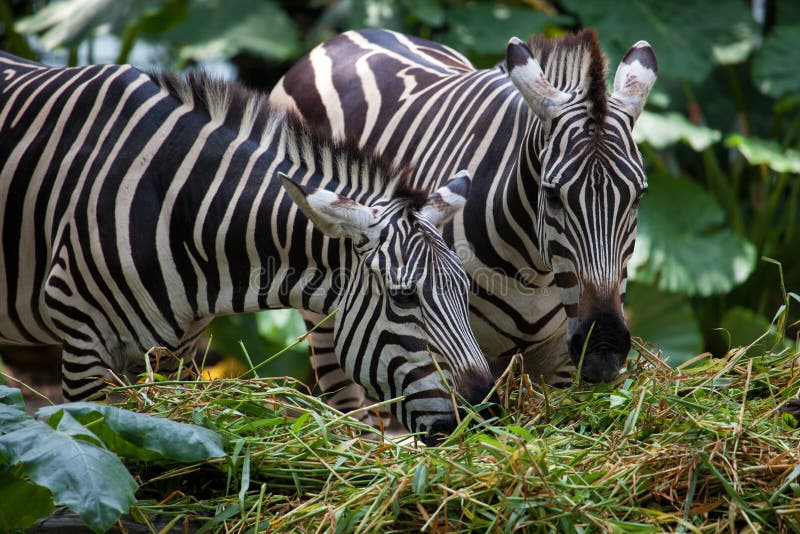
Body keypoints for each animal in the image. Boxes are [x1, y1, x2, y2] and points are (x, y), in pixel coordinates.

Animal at [0, 51, 496, 445]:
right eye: (404, 297)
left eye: (465, 291)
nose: (485, 416)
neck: (179, 208)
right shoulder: (83, 347)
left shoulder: (177, 354)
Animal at [270, 28, 657, 415]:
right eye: (552, 195)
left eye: (639, 195)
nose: (604, 347)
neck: (536, 271)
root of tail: (348, 36)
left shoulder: (558, 356)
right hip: (323, 321)